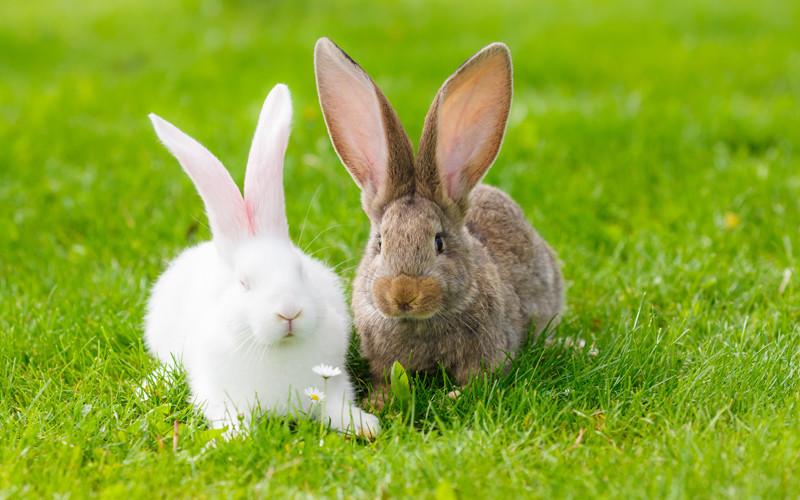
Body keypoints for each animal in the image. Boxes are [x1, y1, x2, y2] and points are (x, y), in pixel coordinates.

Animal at [144, 84, 379, 438]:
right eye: (244, 283)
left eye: (300, 270)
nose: (289, 312)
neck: (276, 349)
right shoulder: (219, 395)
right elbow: (232, 419)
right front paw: (232, 438)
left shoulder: (333, 385)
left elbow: (337, 409)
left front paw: (366, 426)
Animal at [314, 38, 564, 395]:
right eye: (380, 243)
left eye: (439, 242)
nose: (403, 294)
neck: (417, 322)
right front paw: (379, 400)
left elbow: (479, 378)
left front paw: (456, 395)